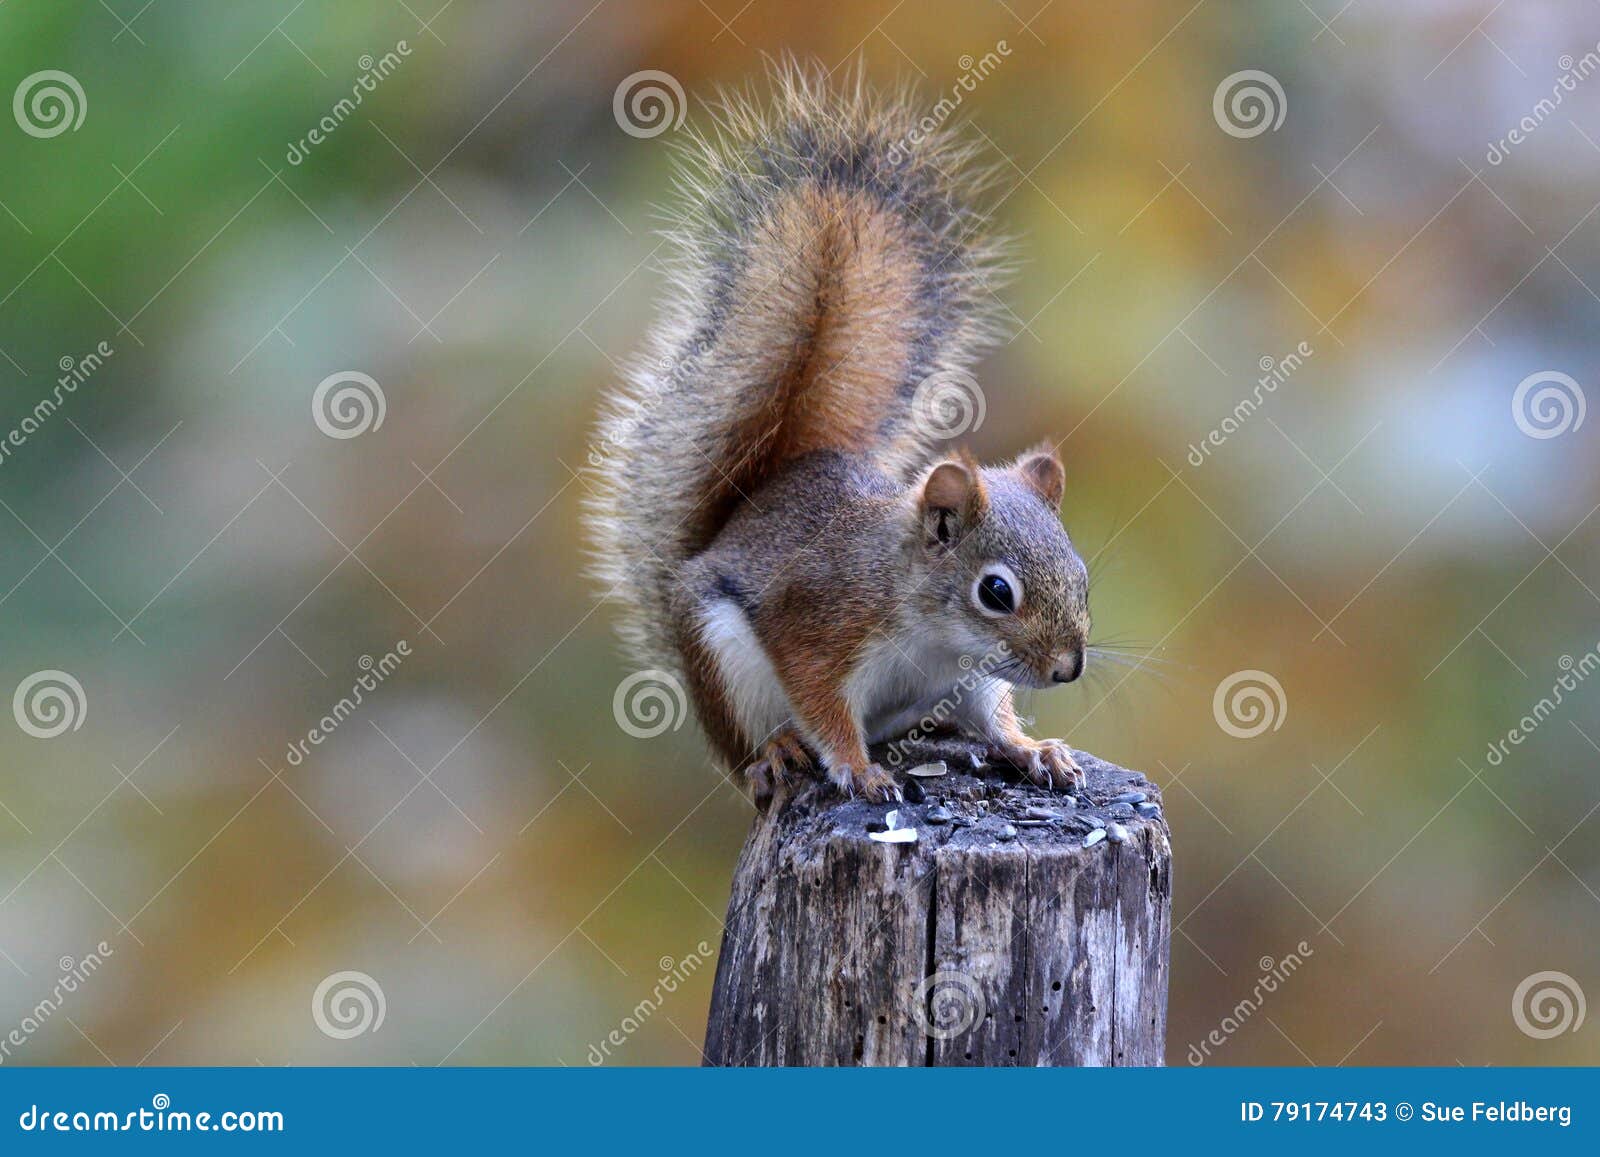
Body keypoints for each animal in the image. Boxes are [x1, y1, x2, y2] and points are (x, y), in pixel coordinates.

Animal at [588, 63, 1090, 807]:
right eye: (996, 592)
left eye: (1081, 572)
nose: (1067, 667)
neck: (935, 634)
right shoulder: (819, 626)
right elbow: (823, 704)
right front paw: (856, 767)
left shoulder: (967, 678)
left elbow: (992, 715)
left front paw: (1034, 749)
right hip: (721, 659)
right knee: (746, 750)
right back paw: (775, 753)